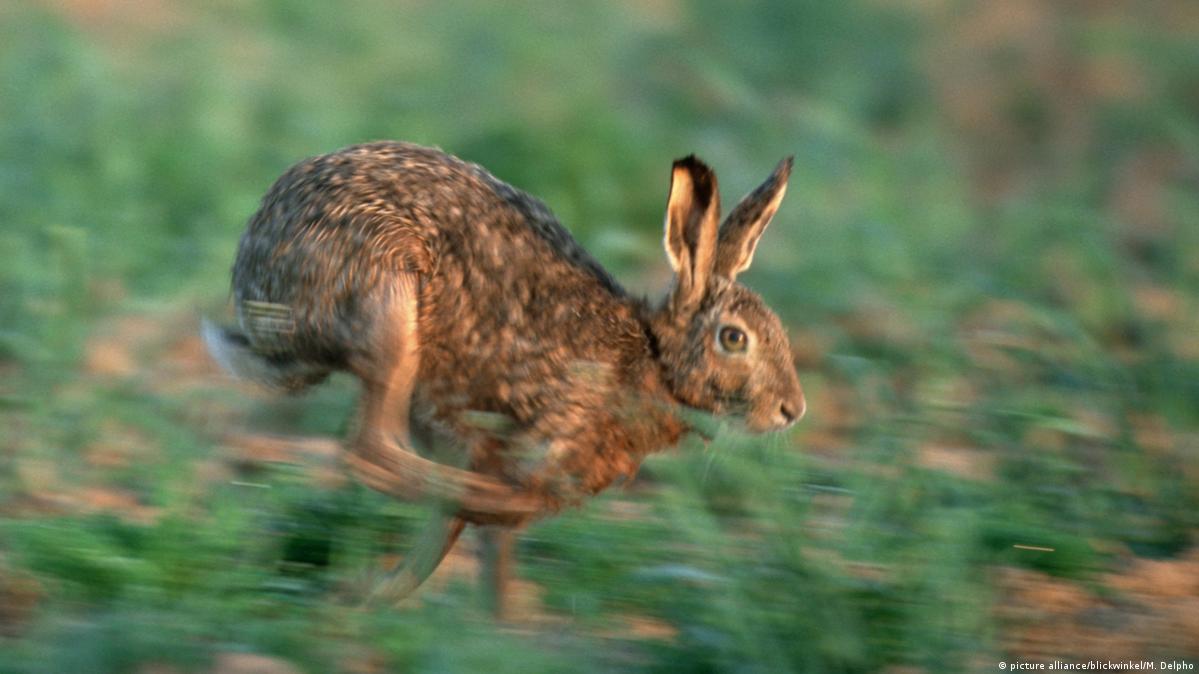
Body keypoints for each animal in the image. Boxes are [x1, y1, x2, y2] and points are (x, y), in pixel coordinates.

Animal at [205, 141, 804, 615]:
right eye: (734, 338)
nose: (792, 411)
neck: (652, 361)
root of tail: (256, 286)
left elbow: (475, 545)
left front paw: (483, 619)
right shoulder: (534, 429)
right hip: (389, 303)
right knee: (372, 450)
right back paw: (502, 503)